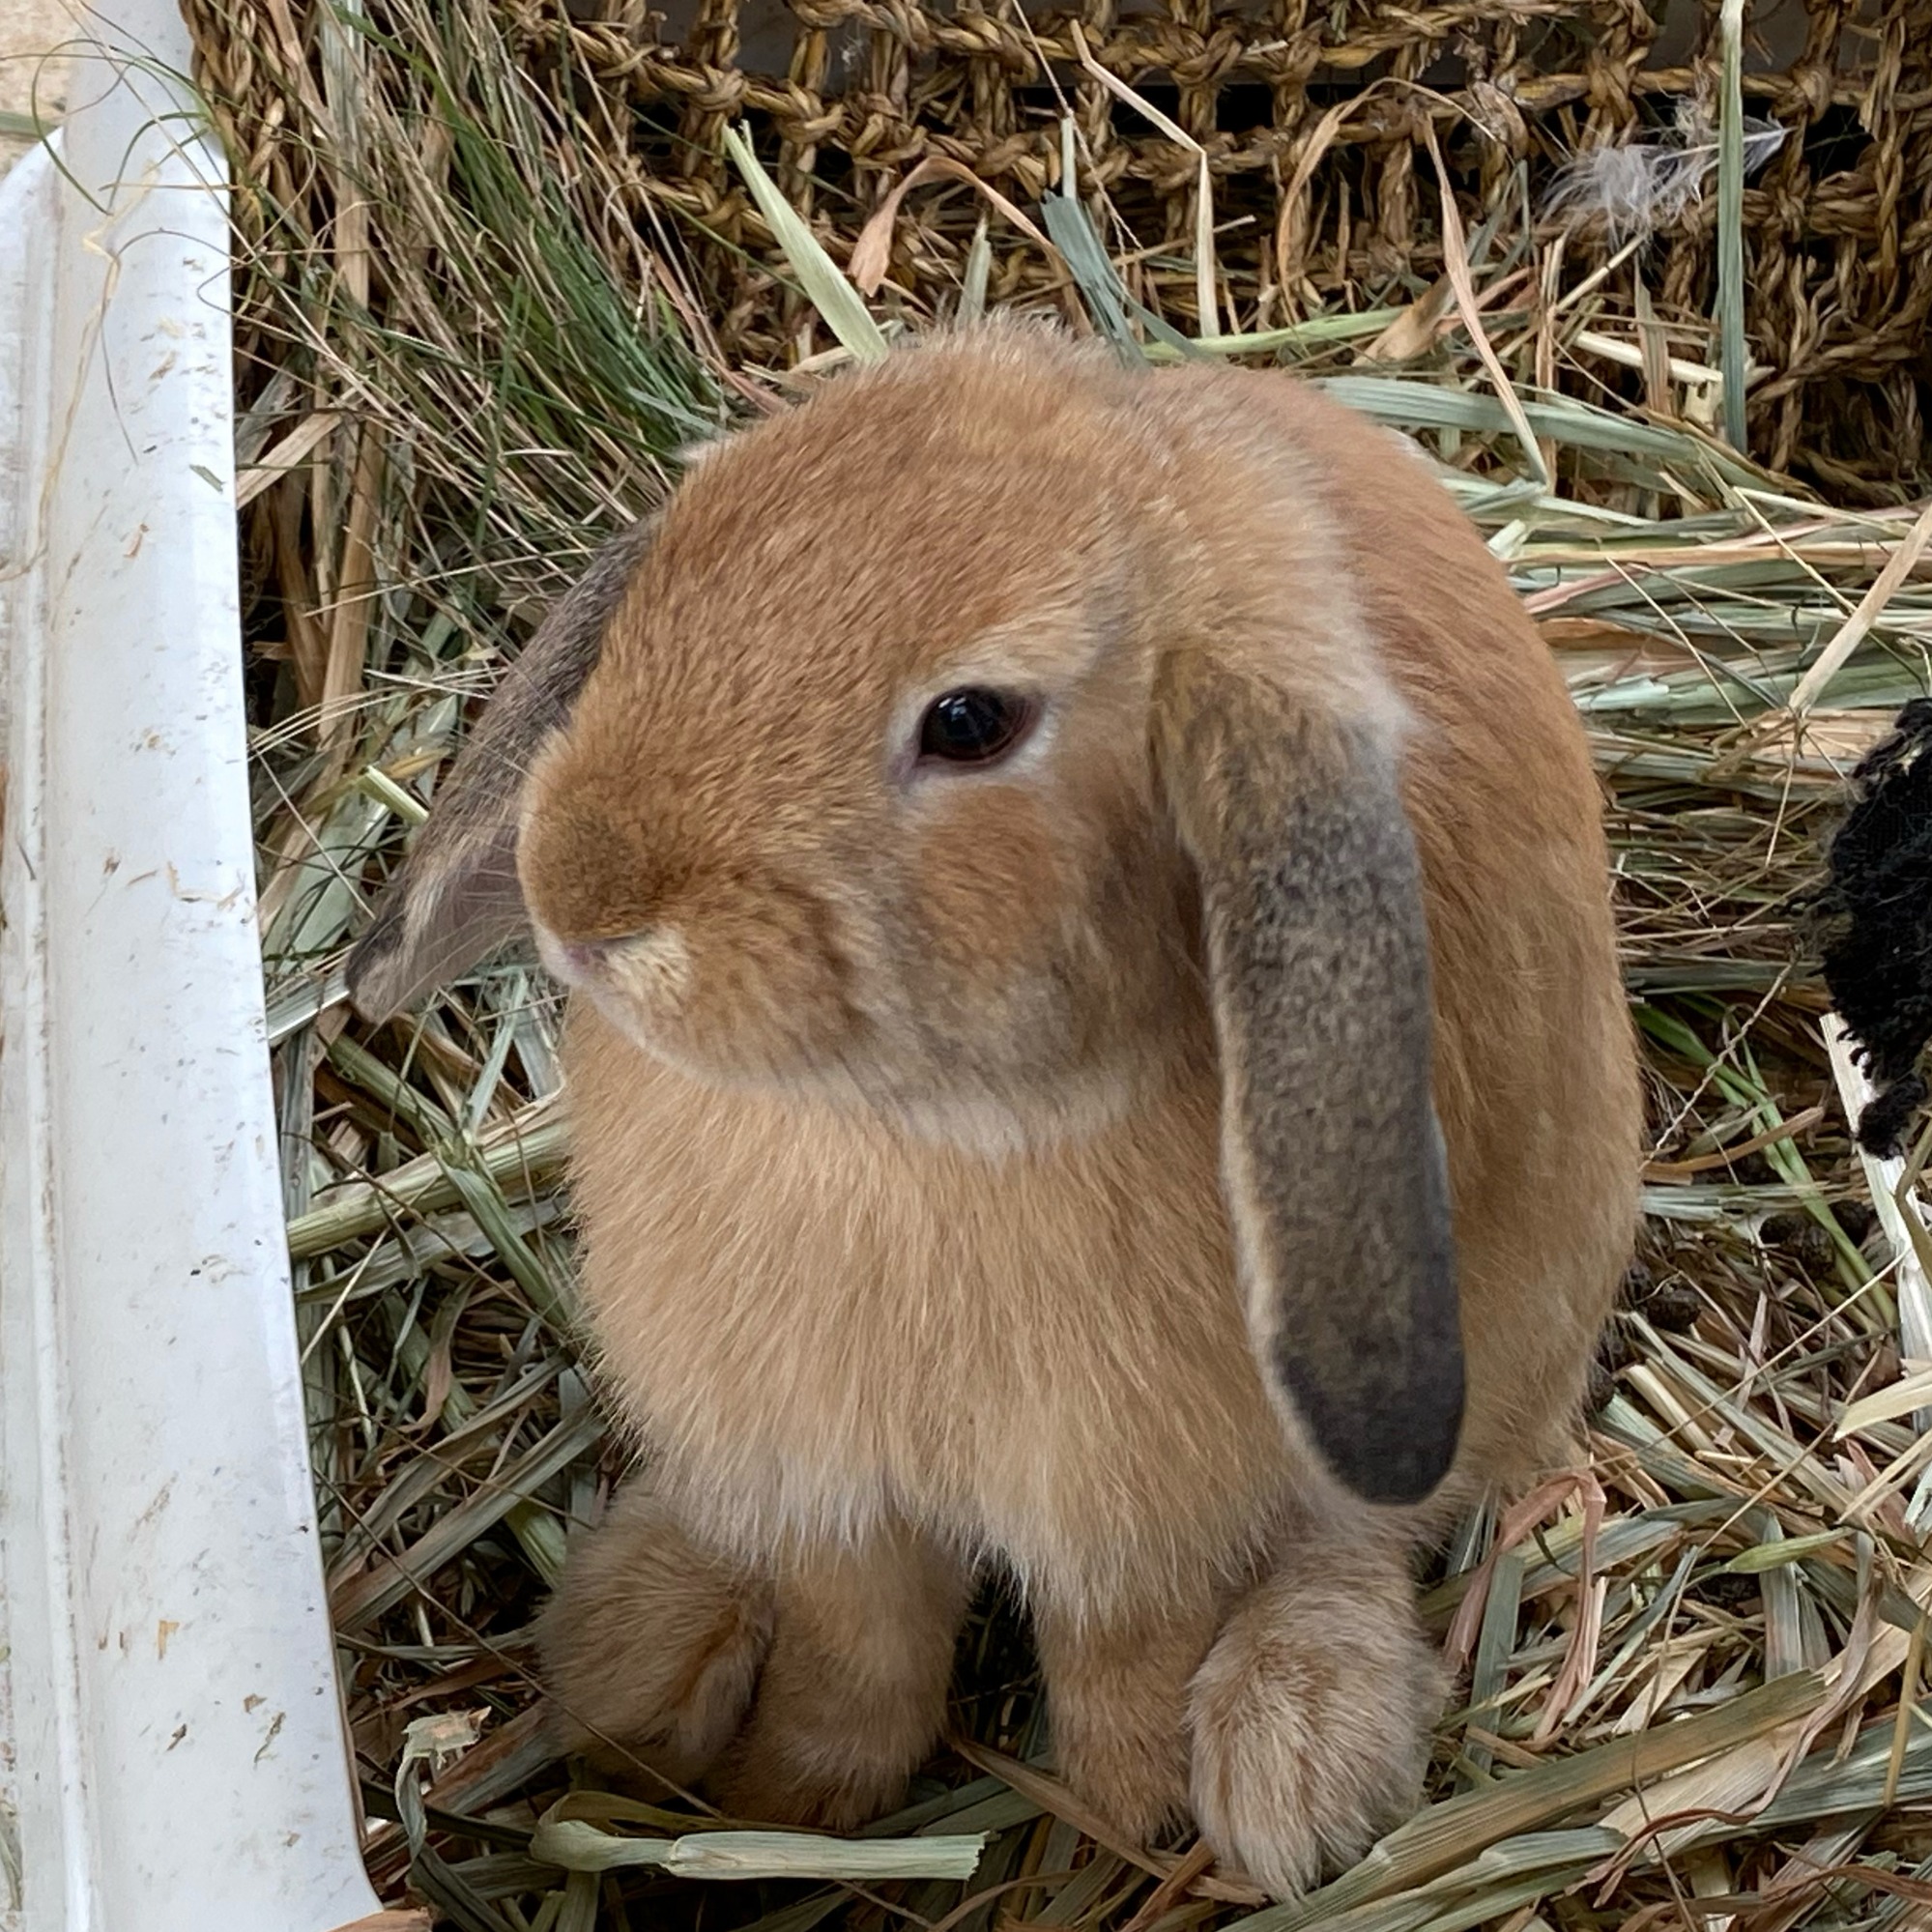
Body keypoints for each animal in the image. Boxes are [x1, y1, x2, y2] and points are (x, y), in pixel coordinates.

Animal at [347, 322, 1641, 1897]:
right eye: (675, 563)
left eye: (968, 721)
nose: (581, 898)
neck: (917, 1130)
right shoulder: (831, 1487)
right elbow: (857, 1657)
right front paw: (797, 1794)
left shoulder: (1131, 1517)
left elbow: (1120, 1662)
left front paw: (1123, 1823)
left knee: (1372, 1533)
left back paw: (1289, 1756)